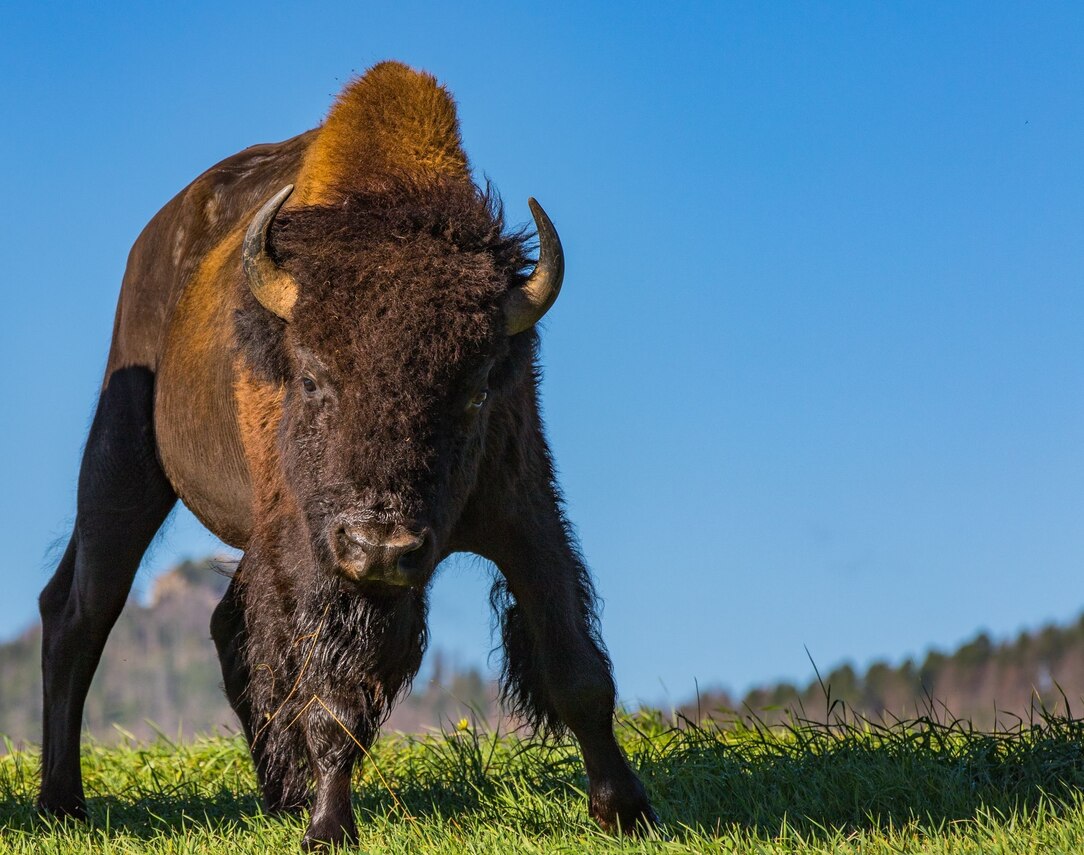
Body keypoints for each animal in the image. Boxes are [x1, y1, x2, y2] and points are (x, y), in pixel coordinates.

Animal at [37, 61, 656, 848]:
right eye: (312, 376)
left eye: (477, 389)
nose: (381, 545)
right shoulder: (318, 556)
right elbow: (334, 697)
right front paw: (330, 829)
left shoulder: (525, 510)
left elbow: (575, 663)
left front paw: (628, 809)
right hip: (126, 456)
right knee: (80, 610)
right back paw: (62, 803)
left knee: (224, 625)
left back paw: (280, 794)